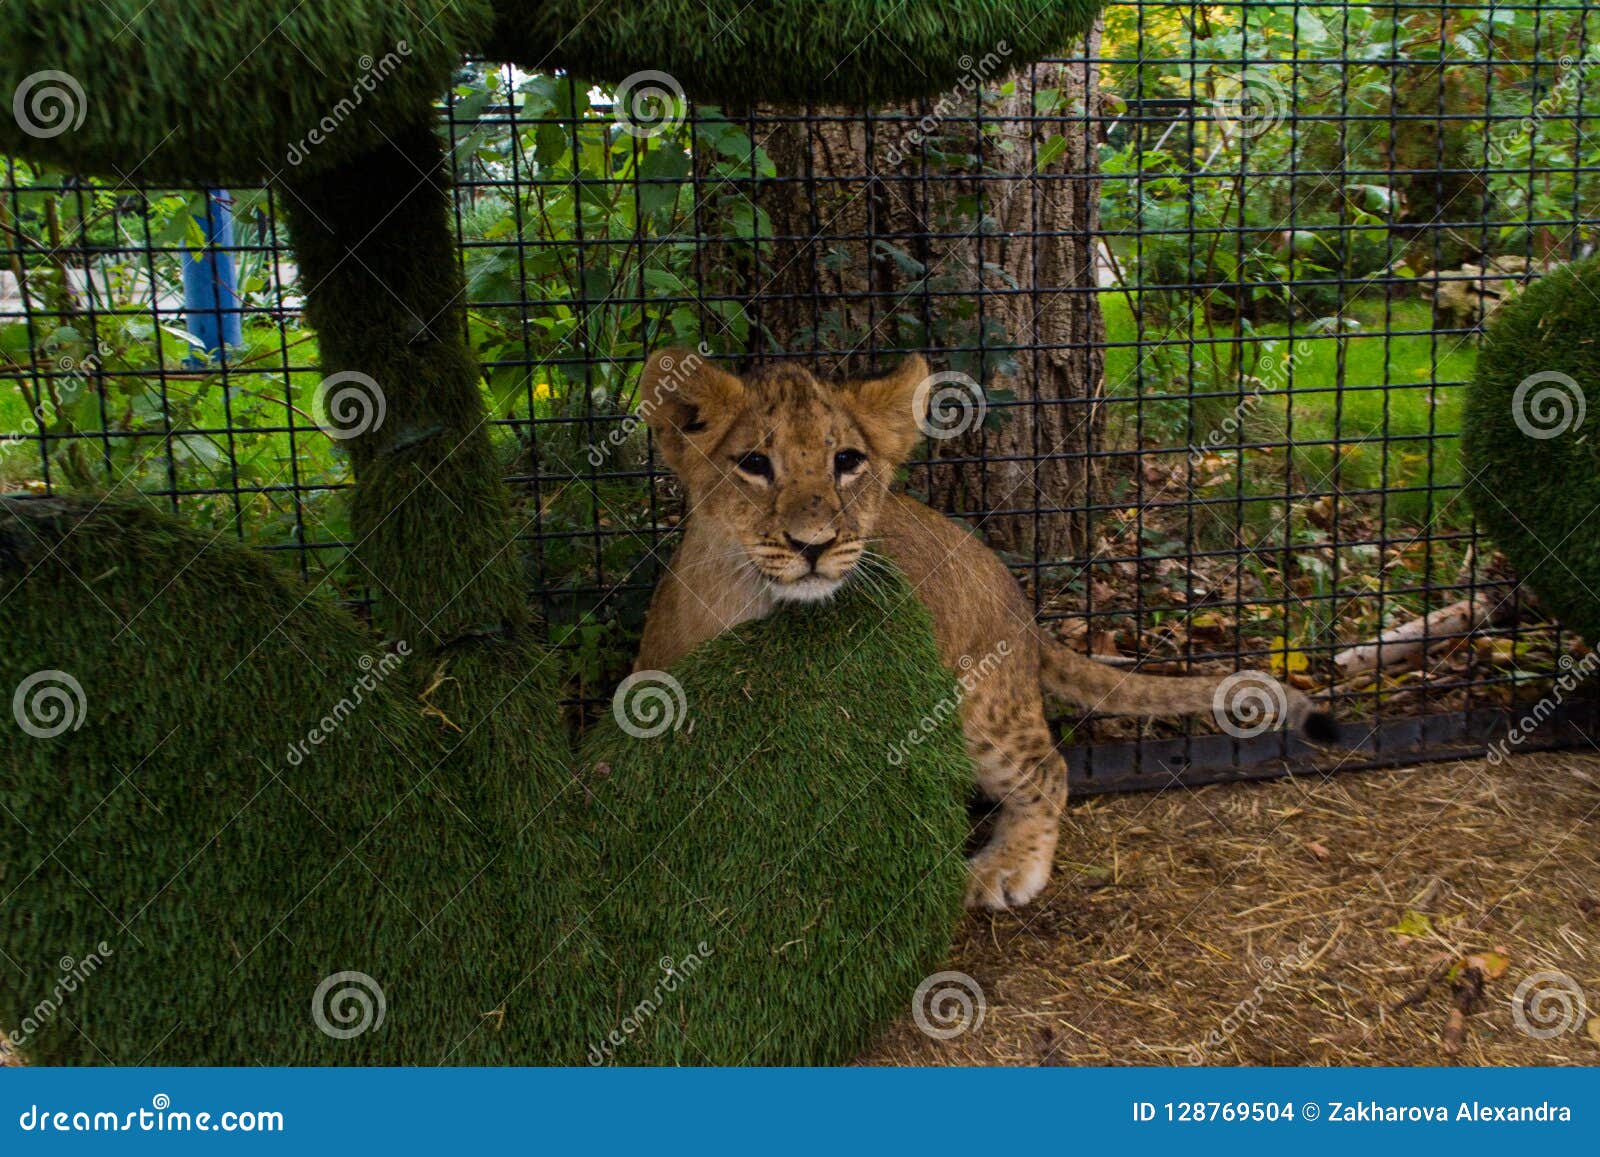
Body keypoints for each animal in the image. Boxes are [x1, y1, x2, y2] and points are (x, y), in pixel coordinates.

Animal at [631, 348, 1334, 909]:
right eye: (754, 462)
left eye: (847, 460)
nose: (814, 543)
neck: (758, 604)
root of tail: (1020, 605)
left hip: (981, 709)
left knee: (1049, 769)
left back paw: (1009, 867)